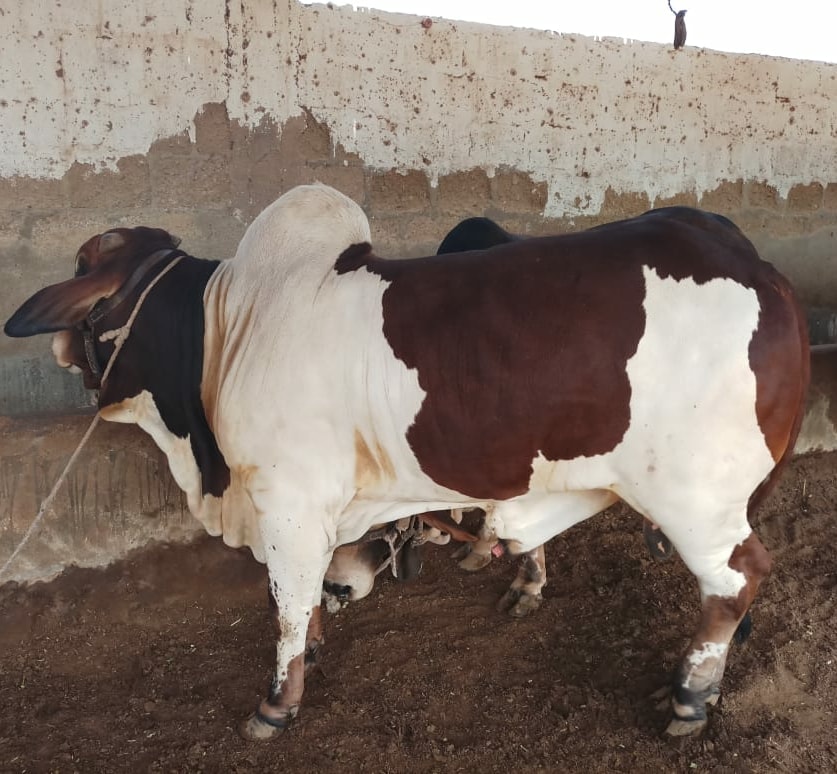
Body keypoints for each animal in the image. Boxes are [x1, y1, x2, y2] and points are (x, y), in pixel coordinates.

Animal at [4, 184, 809, 739]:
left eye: (84, 266)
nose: (63, 346)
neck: (227, 328)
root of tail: (758, 268)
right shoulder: (316, 509)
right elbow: (304, 593)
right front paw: (315, 651)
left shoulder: (287, 502)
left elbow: (285, 600)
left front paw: (277, 702)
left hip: (694, 498)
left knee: (737, 581)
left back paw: (689, 698)